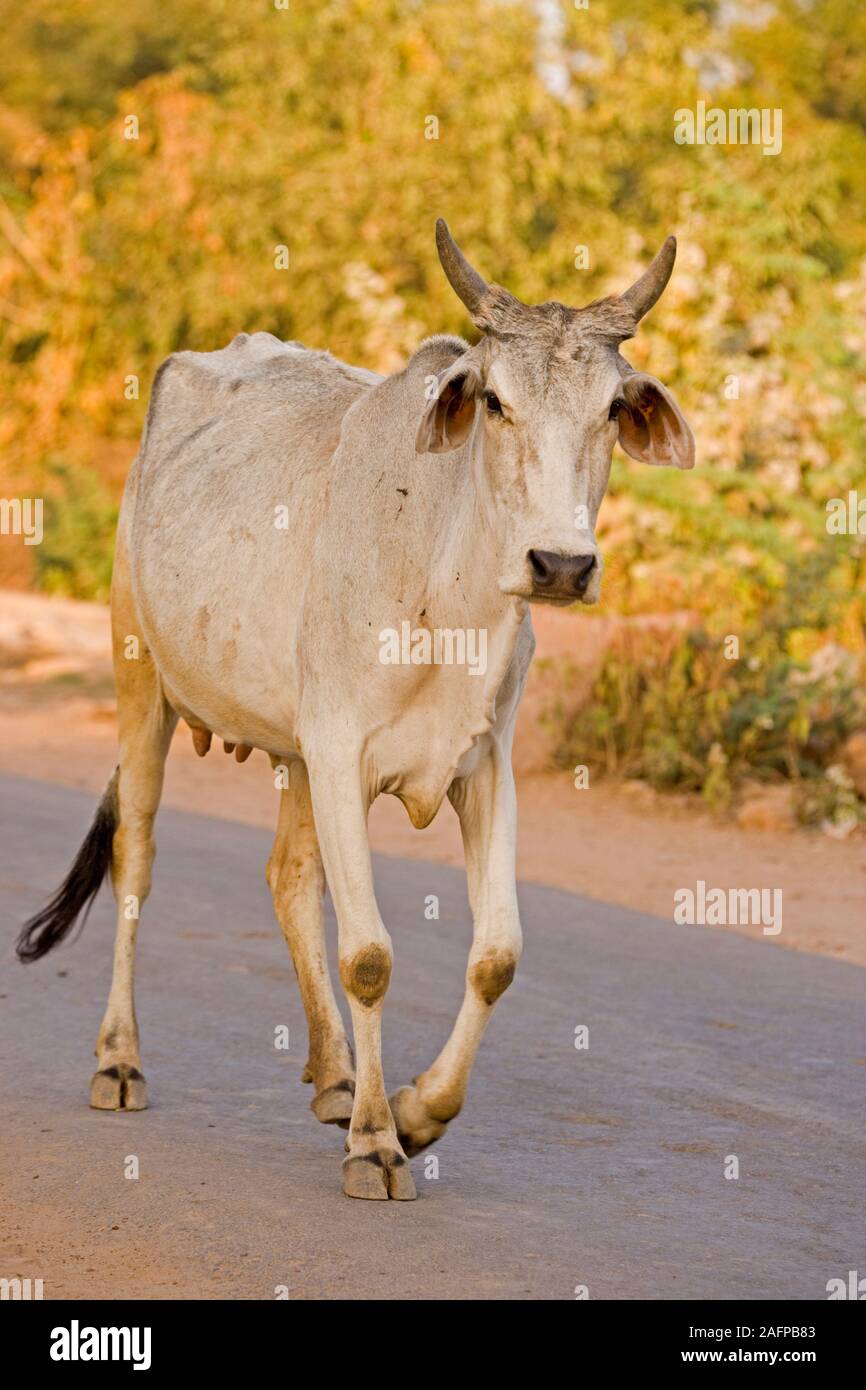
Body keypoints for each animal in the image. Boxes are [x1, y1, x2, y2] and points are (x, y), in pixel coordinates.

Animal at [17, 221, 694, 1200]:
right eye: (495, 403)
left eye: (610, 409)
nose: (561, 566)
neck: (449, 593)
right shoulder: (341, 754)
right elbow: (370, 955)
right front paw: (378, 1142)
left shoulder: (482, 766)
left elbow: (496, 955)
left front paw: (416, 1111)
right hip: (139, 682)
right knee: (135, 858)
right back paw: (120, 1061)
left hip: (294, 754)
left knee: (289, 876)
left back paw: (336, 1076)